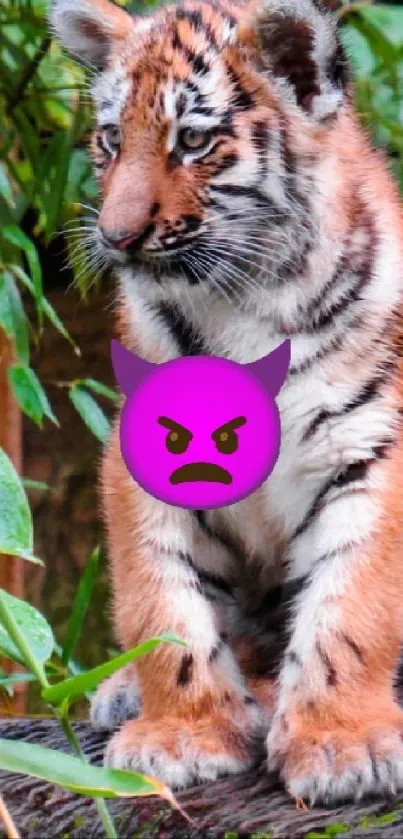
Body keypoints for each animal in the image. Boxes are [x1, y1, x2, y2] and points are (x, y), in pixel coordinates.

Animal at [52, 0, 403, 804]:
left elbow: (351, 603)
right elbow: (164, 603)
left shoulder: (372, 445)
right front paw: (182, 733)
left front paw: (343, 743)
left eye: (193, 140)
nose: (115, 236)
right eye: (111, 139)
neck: (241, 298)